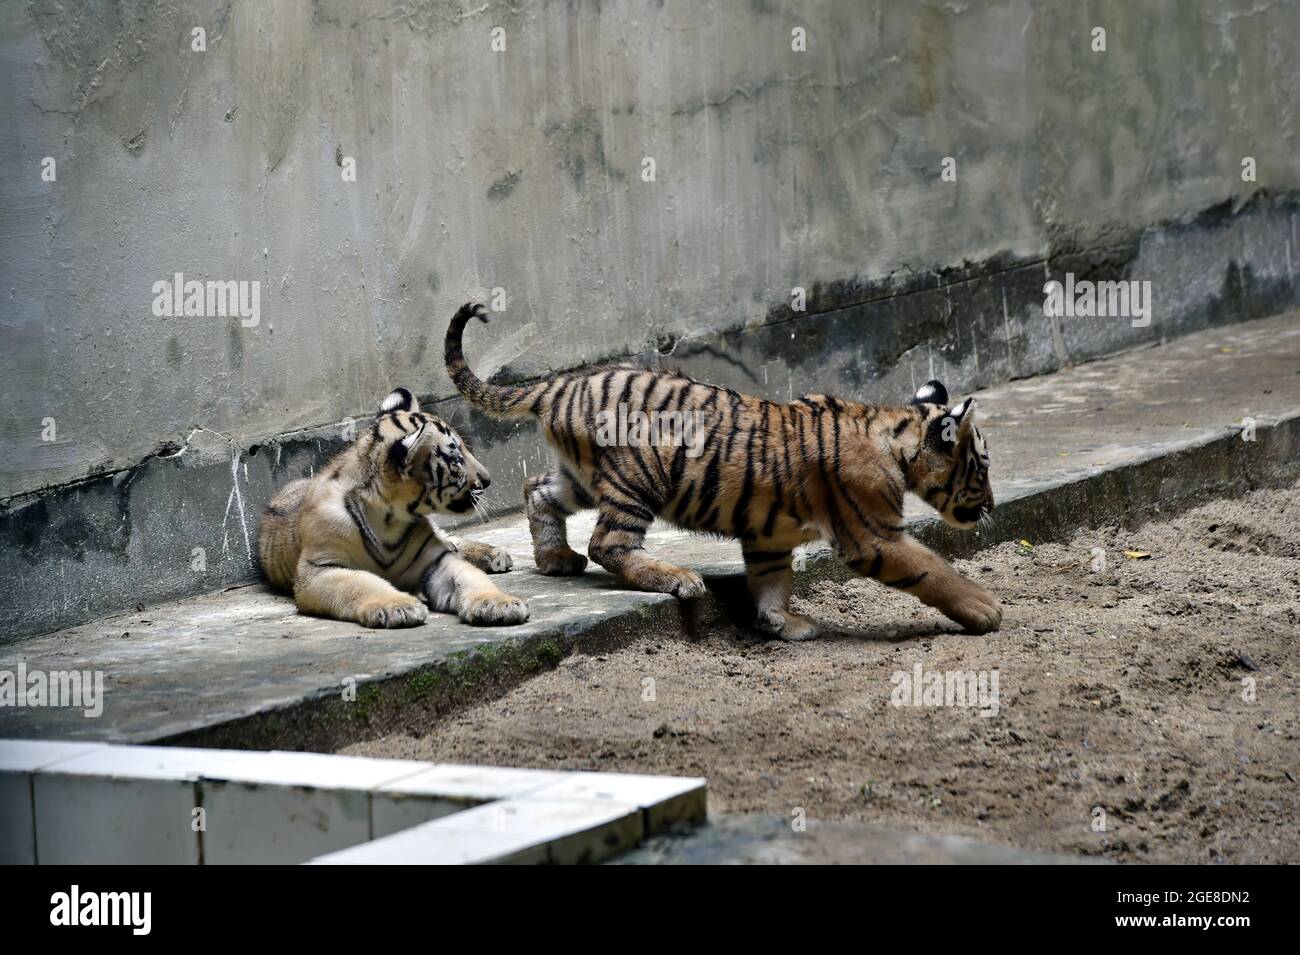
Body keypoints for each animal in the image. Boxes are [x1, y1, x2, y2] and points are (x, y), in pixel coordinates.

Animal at [256, 386, 529, 629]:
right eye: (457, 459)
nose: (488, 479)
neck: (390, 519)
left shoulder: (436, 560)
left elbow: (470, 577)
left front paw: (499, 603)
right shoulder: (321, 568)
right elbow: (362, 583)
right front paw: (398, 607)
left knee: (452, 541)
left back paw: (494, 555)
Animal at [444, 301, 1001, 640]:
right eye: (982, 466)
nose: (992, 506)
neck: (896, 438)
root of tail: (558, 384)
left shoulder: (769, 534)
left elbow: (772, 581)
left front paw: (783, 623)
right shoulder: (872, 535)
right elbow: (932, 568)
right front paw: (984, 607)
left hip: (581, 476)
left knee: (537, 490)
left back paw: (556, 559)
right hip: (638, 477)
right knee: (609, 544)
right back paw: (676, 578)